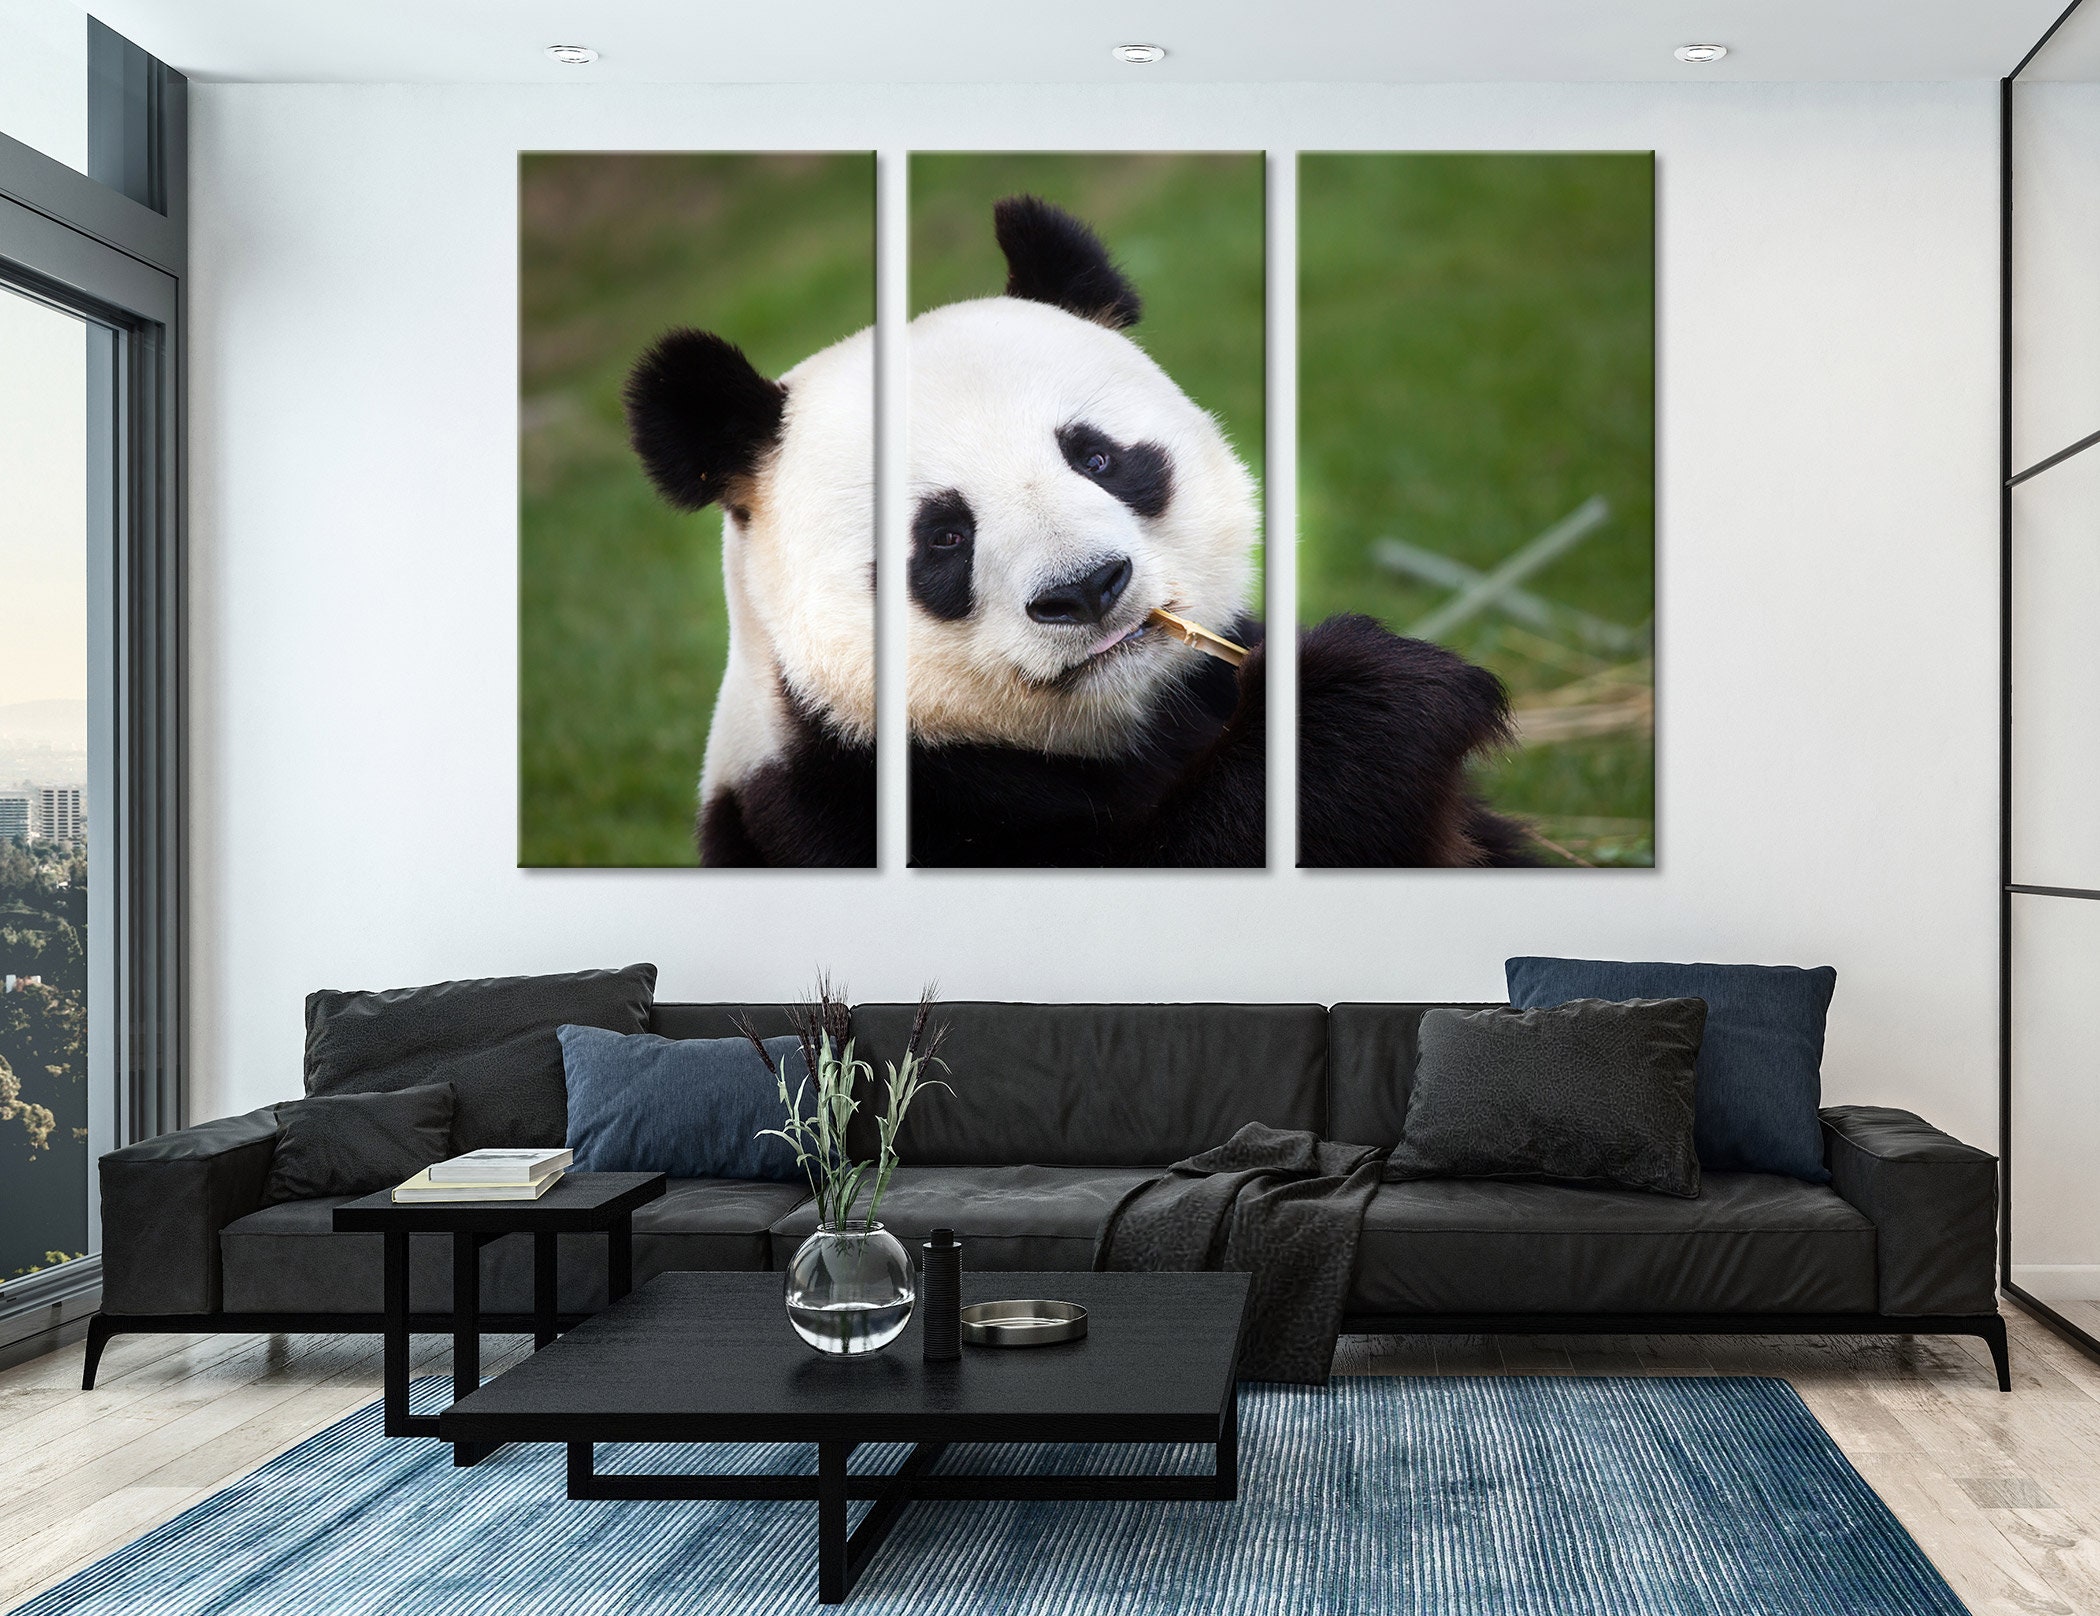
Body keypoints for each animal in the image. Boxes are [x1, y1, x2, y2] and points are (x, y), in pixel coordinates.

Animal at [625, 195, 1533, 868]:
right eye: (944, 537)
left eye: (1096, 457)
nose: (1087, 589)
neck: (1115, 735)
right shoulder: (836, 807)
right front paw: (1369, 692)